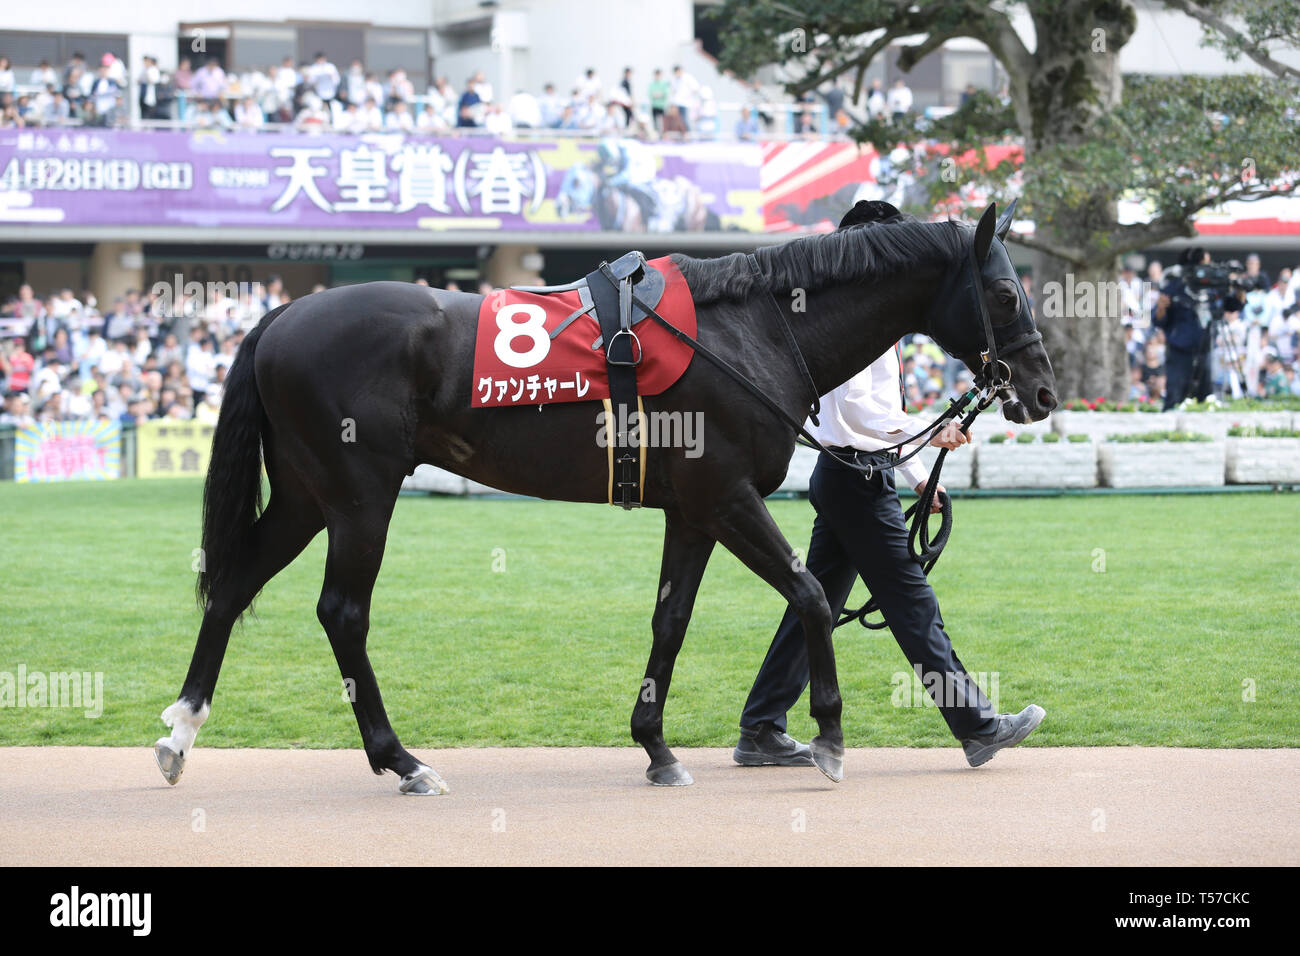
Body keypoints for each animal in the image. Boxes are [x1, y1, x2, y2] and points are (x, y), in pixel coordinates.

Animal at [153, 201, 1057, 794]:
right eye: (1007, 293)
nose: (1044, 390)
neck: (754, 327)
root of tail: (278, 318)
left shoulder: (691, 511)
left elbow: (671, 621)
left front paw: (656, 749)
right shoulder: (727, 496)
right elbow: (805, 592)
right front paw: (831, 736)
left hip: (308, 495)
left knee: (232, 585)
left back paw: (181, 730)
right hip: (359, 496)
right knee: (341, 612)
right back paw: (401, 760)